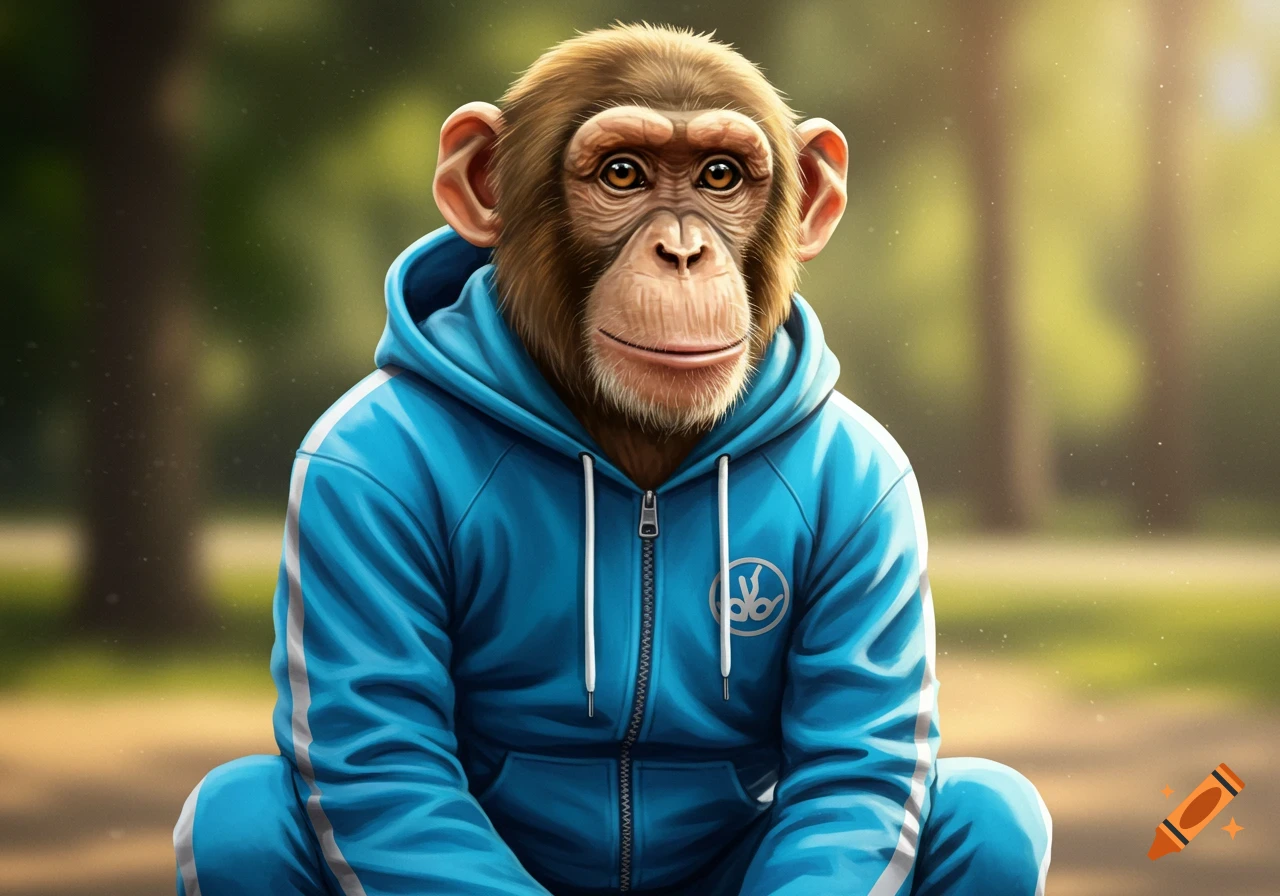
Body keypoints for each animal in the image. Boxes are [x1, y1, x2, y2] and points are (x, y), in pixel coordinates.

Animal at [175, 24, 1052, 896]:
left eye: (719, 175)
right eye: (622, 174)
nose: (682, 251)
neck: (638, 478)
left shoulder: (876, 489)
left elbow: (856, 765)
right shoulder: (359, 472)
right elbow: (387, 760)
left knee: (994, 808)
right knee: (235, 814)